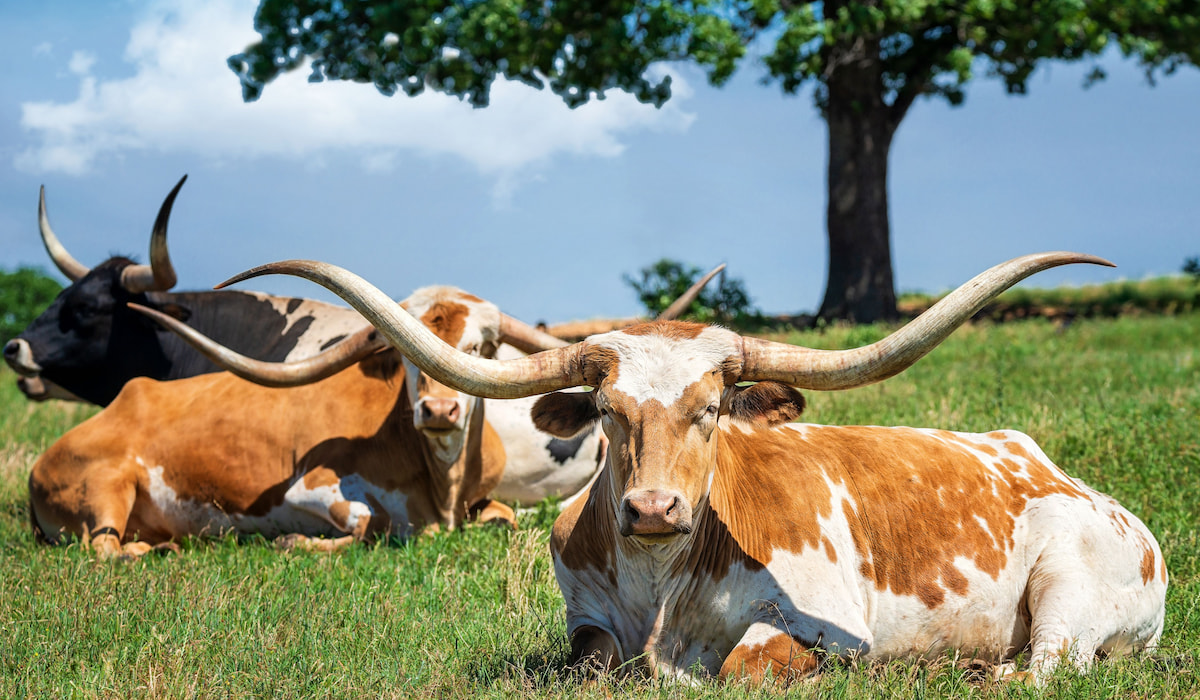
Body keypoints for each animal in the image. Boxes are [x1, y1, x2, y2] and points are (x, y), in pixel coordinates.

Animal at [27, 285, 571, 559]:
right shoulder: (308, 486)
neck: (443, 483)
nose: (438, 412)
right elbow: (373, 523)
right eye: (405, 356)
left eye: (483, 347)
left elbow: (502, 518)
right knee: (104, 549)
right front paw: (297, 541)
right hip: (105, 488)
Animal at [218, 252, 1167, 685]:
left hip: (1070, 585)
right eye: (607, 411)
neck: (660, 577)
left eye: (711, 409)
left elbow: (738, 663)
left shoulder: (820, 627)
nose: (652, 508)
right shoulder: (585, 621)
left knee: (1047, 666)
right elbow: (593, 658)